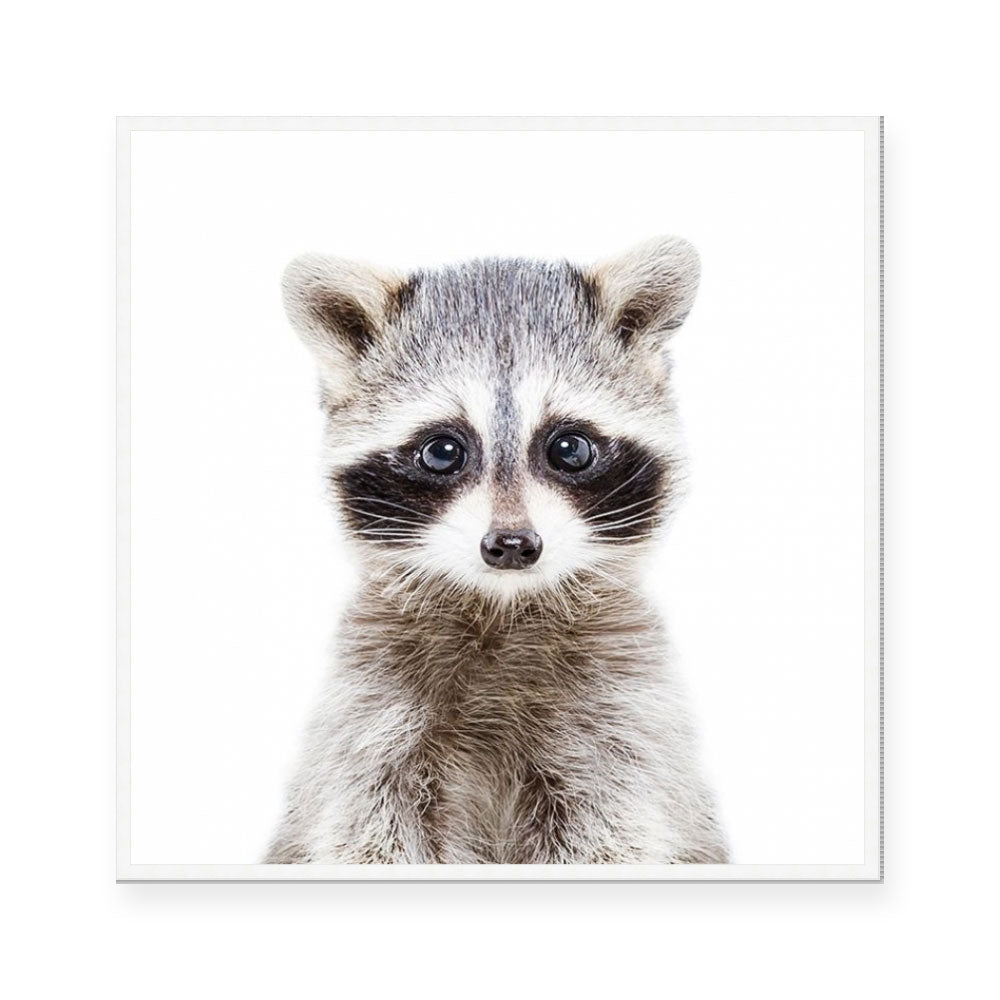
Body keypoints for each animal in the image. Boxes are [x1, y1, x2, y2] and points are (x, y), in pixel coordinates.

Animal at [264, 237, 728, 865]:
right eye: (442, 451)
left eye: (569, 448)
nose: (512, 545)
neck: (501, 607)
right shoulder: (369, 717)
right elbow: (367, 831)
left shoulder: (625, 720)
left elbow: (615, 831)